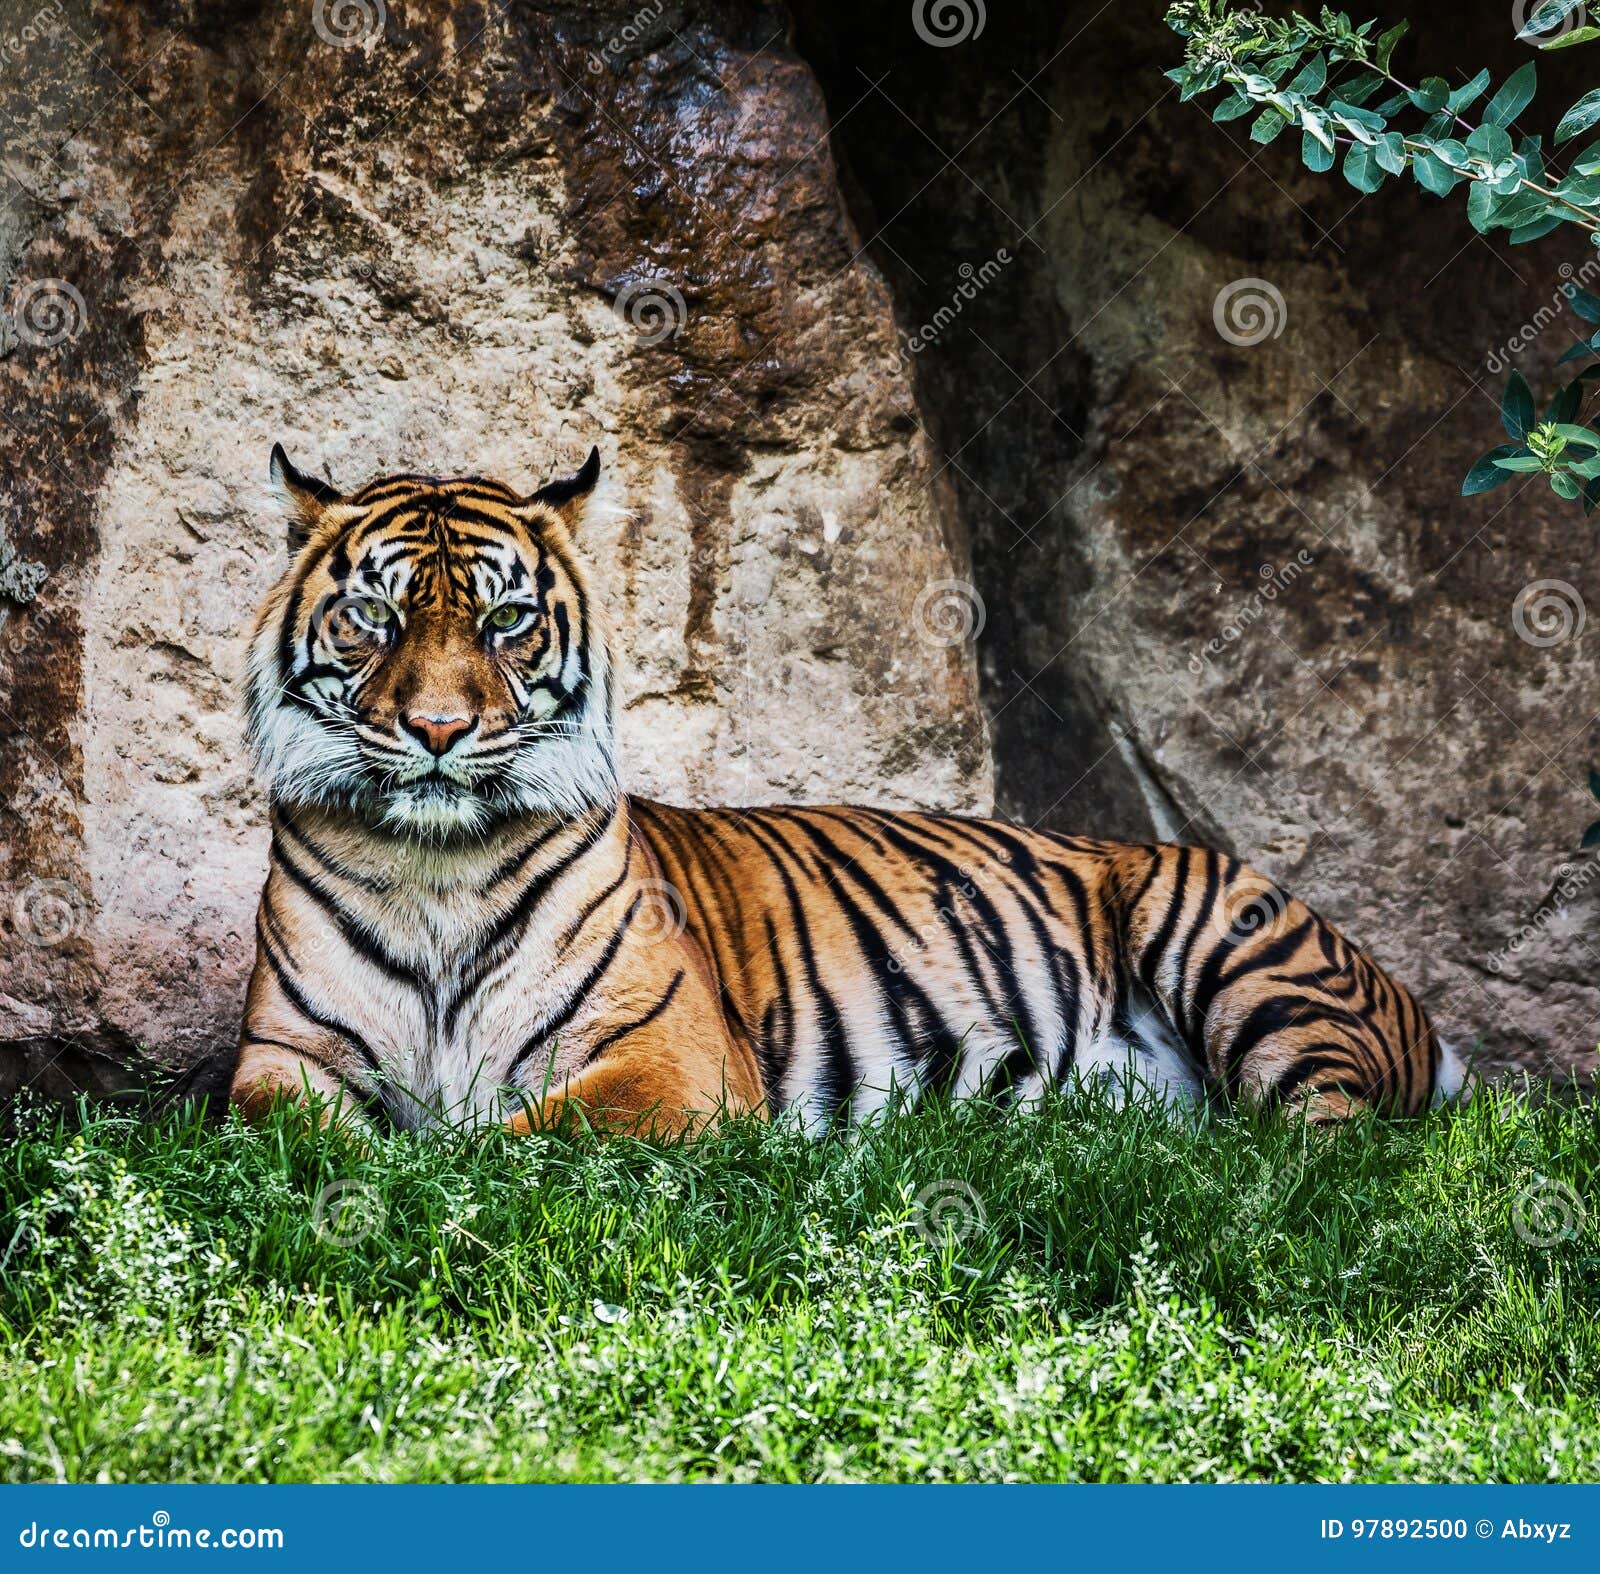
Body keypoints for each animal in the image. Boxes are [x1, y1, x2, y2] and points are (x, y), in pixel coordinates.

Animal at [233, 443, 1463, 1137]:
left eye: (505, 621)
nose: (439, 728)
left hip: (1221, 933)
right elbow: (295, 1134)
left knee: (1329, 1144)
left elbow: (510, 1145)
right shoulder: (280, 1057)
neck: (436, 869)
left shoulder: (666, 1060)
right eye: (373, 616)